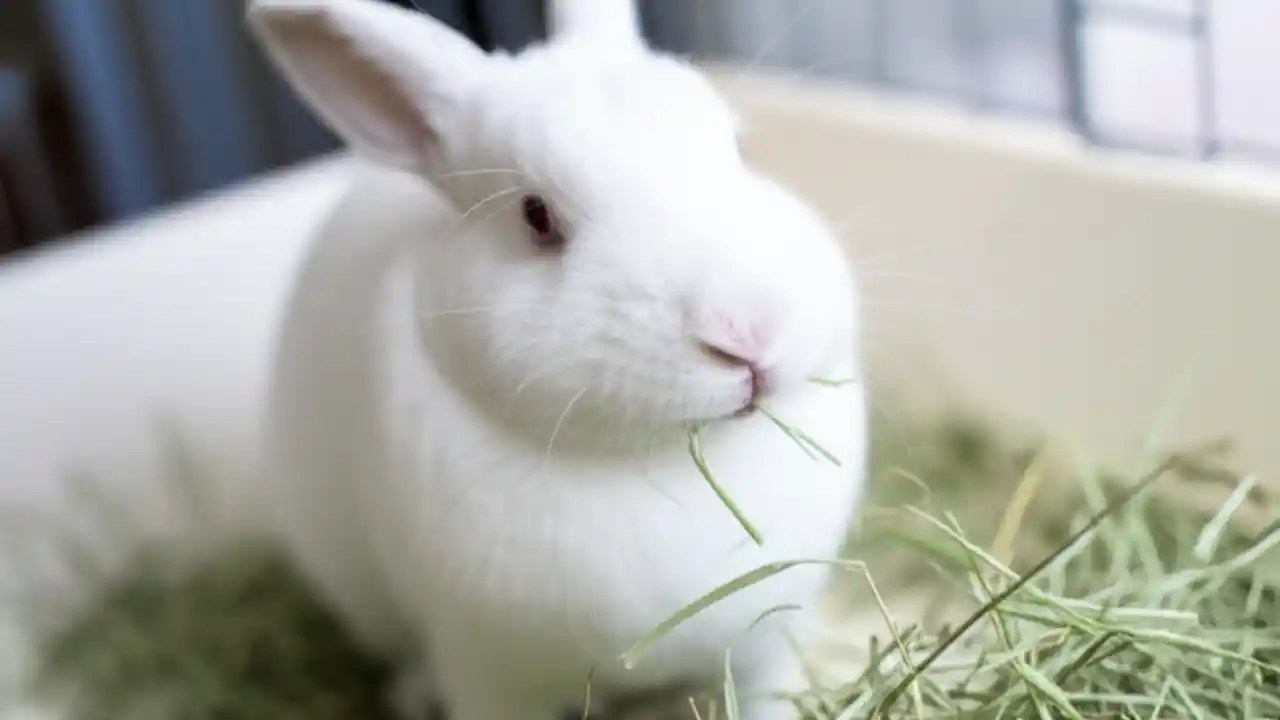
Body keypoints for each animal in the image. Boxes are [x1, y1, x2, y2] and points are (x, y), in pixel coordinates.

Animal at [248, 0, 866, 718]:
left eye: (738, 150)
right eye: (537, 216)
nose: (745, 331)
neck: (654, 464)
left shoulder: (765, 649)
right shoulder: (487, 674)